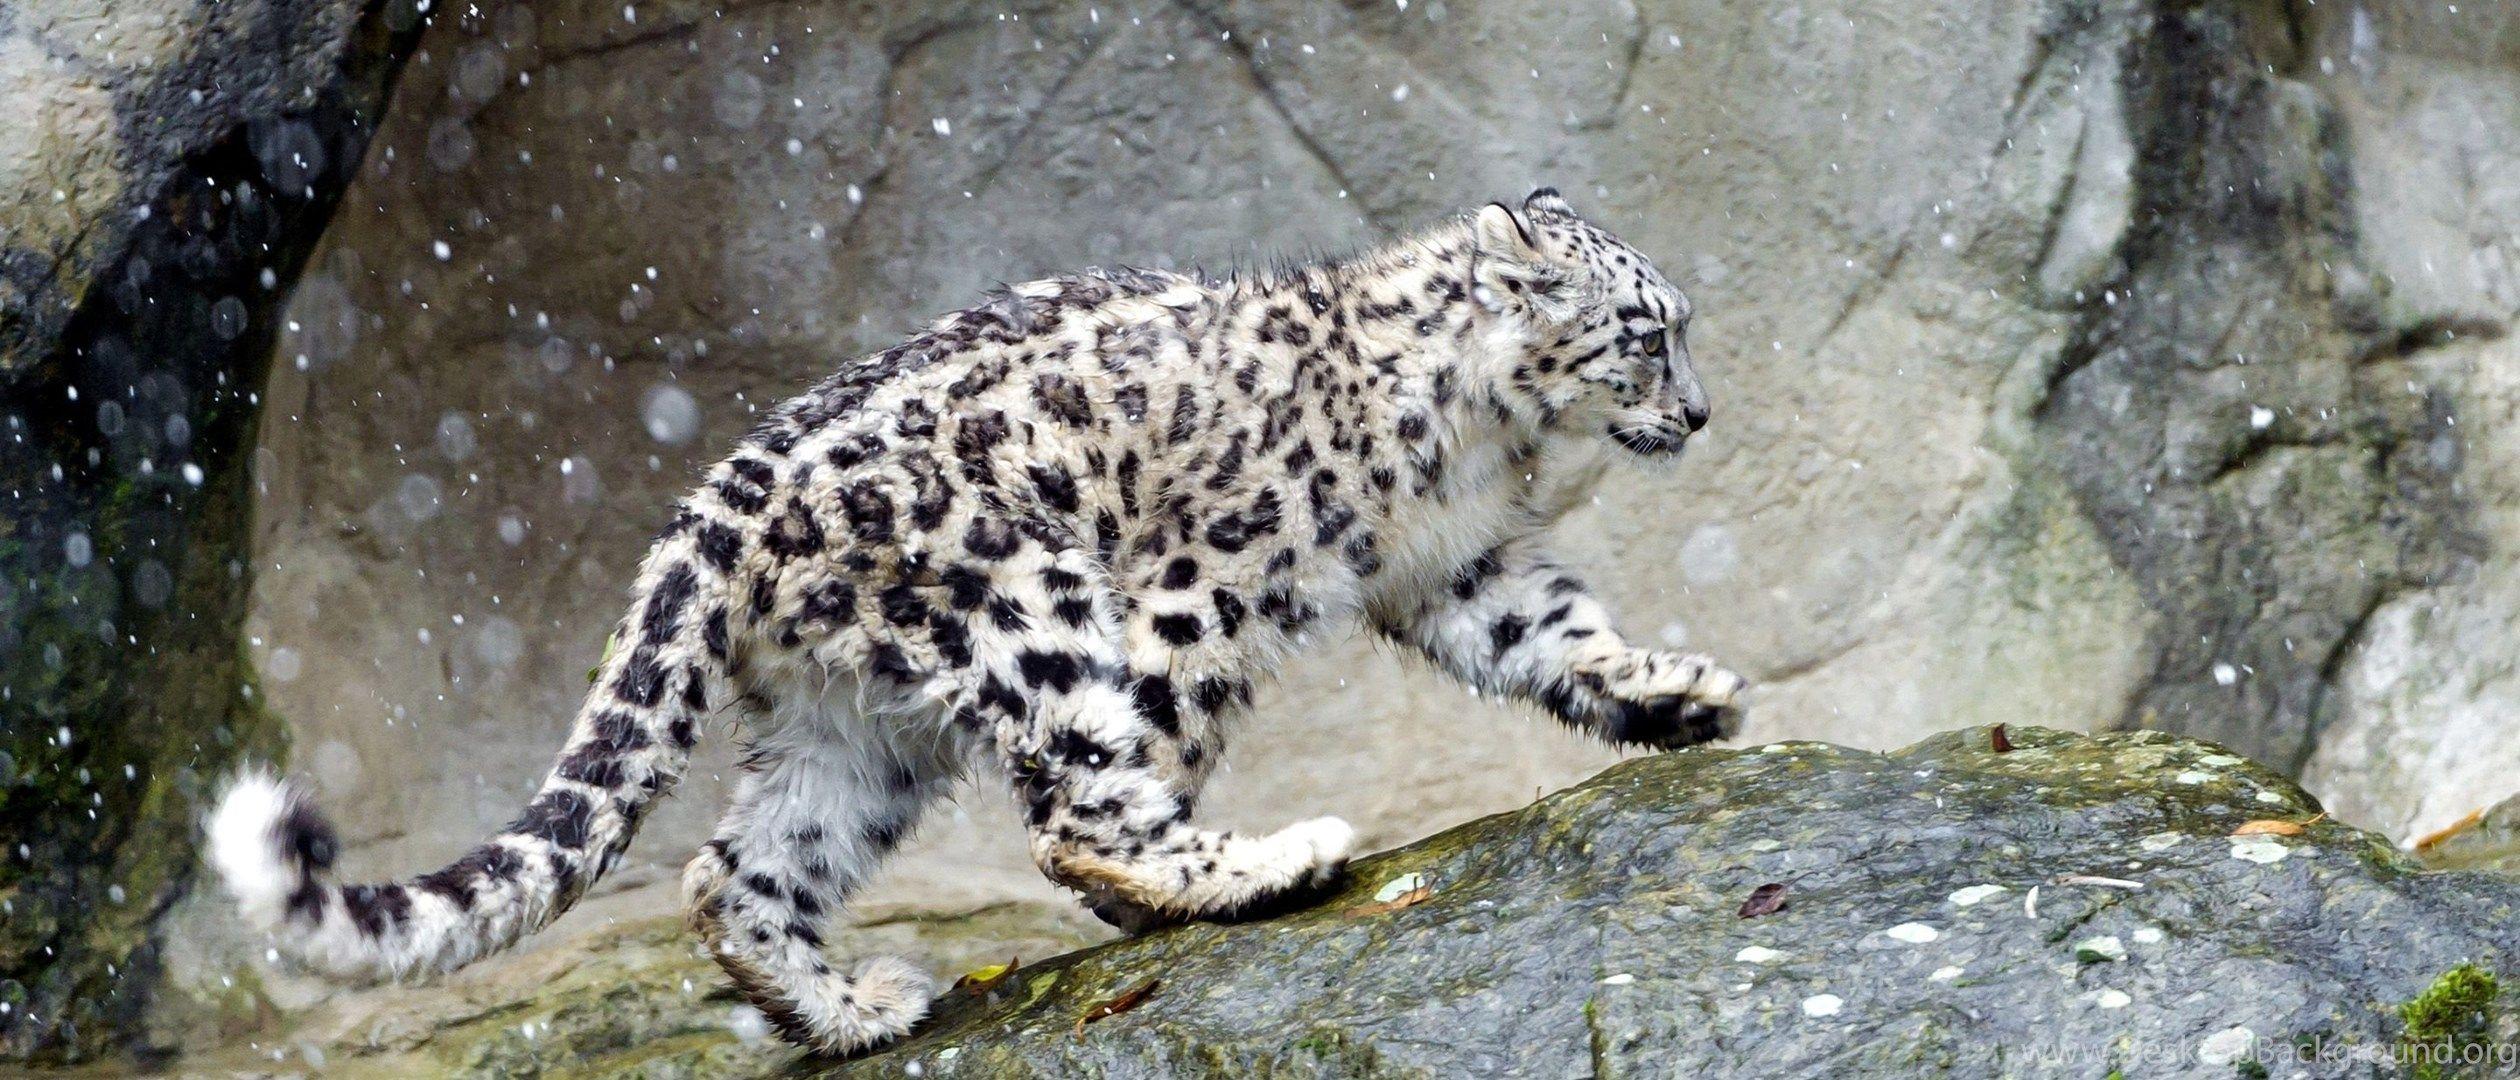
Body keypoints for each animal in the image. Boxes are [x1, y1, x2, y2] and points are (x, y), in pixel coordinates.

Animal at [207, 188, 1746, 1056]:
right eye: (1644, 332)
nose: (1701, 410)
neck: (1485, 447)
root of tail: (712, 504)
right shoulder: (1204, 579)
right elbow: (1153, 740)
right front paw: (1156, 894)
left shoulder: (1460, 569)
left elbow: (1558, 634)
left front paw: (1679, 690)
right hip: (1024, 594)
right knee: (1072, 794)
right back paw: (1265, 861)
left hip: (855, 724)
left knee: (741, 866)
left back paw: (847, 1010)